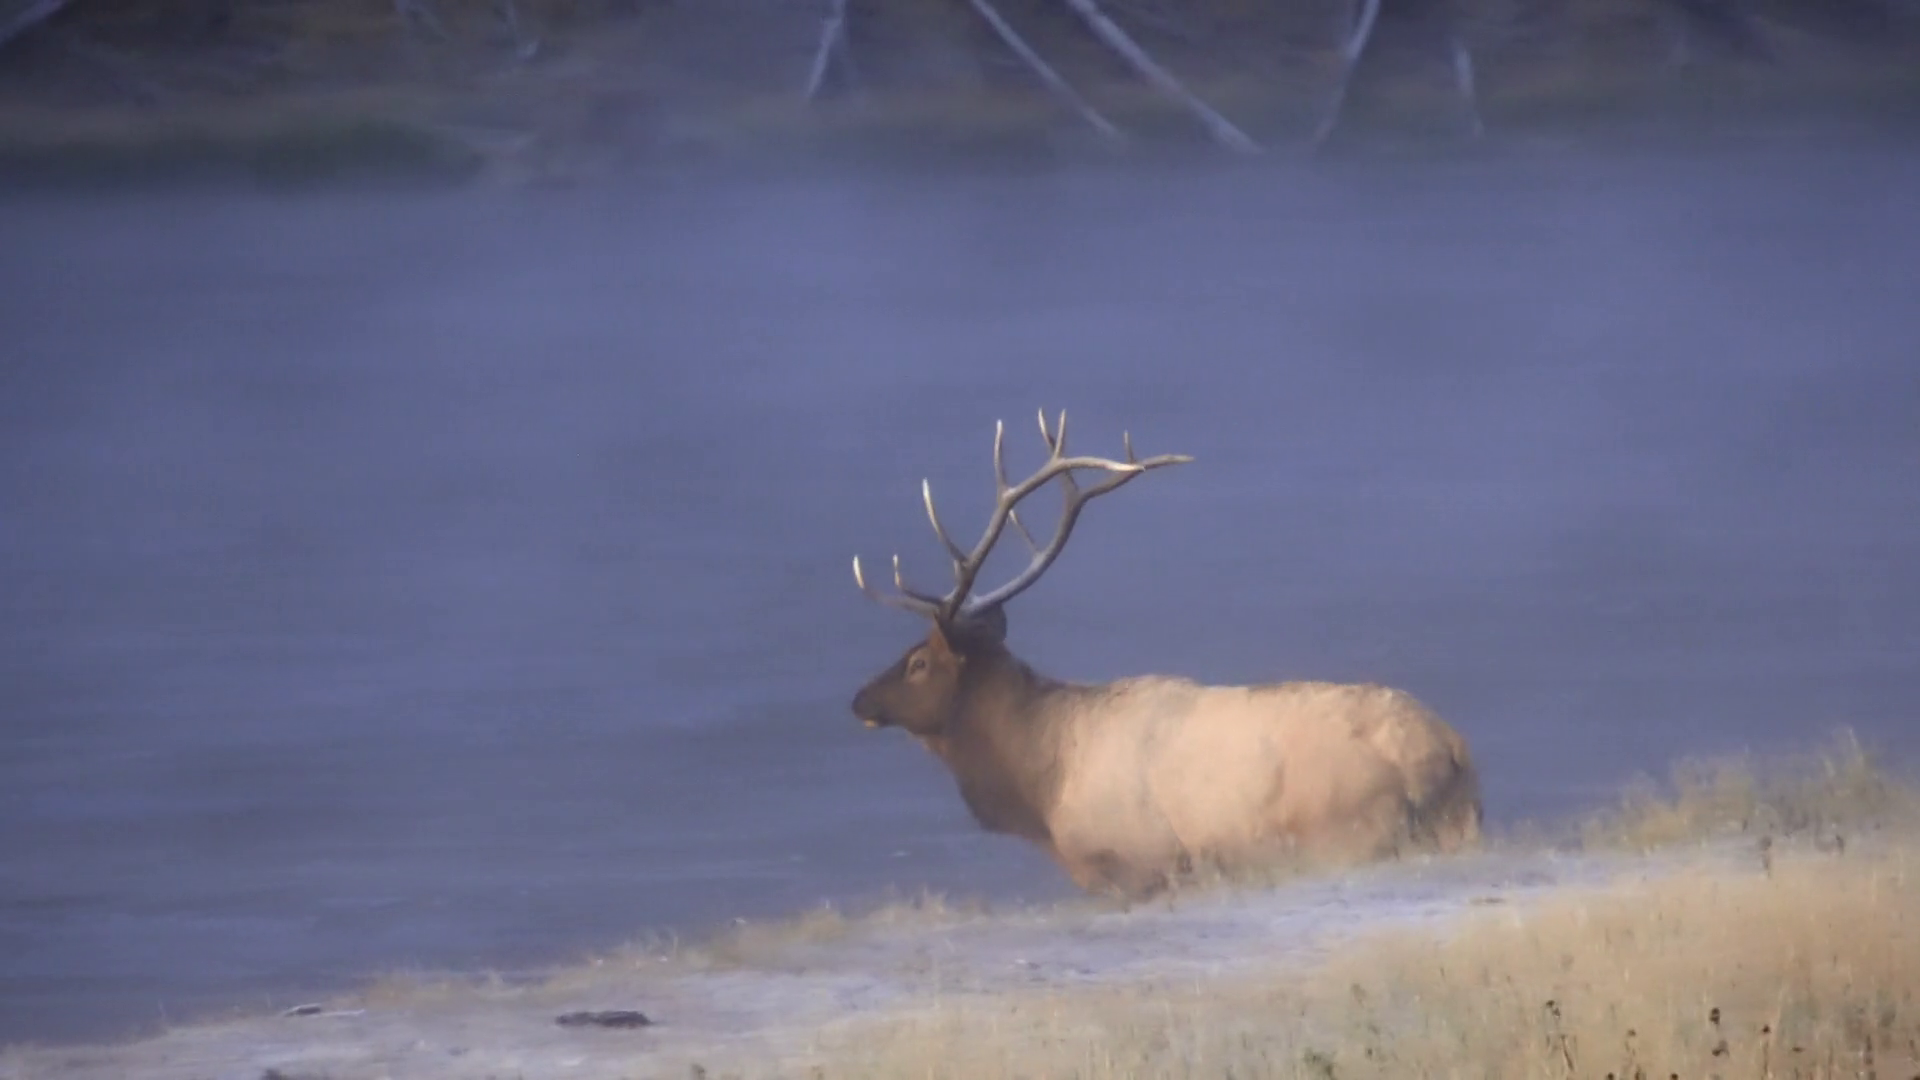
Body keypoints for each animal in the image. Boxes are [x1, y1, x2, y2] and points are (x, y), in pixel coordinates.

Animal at [849, 410, 1482, 900]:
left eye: (918, 662)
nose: (858, 700)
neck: (1041, 786)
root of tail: (1451, 752)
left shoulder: (1137, 867)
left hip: (1349, 833)